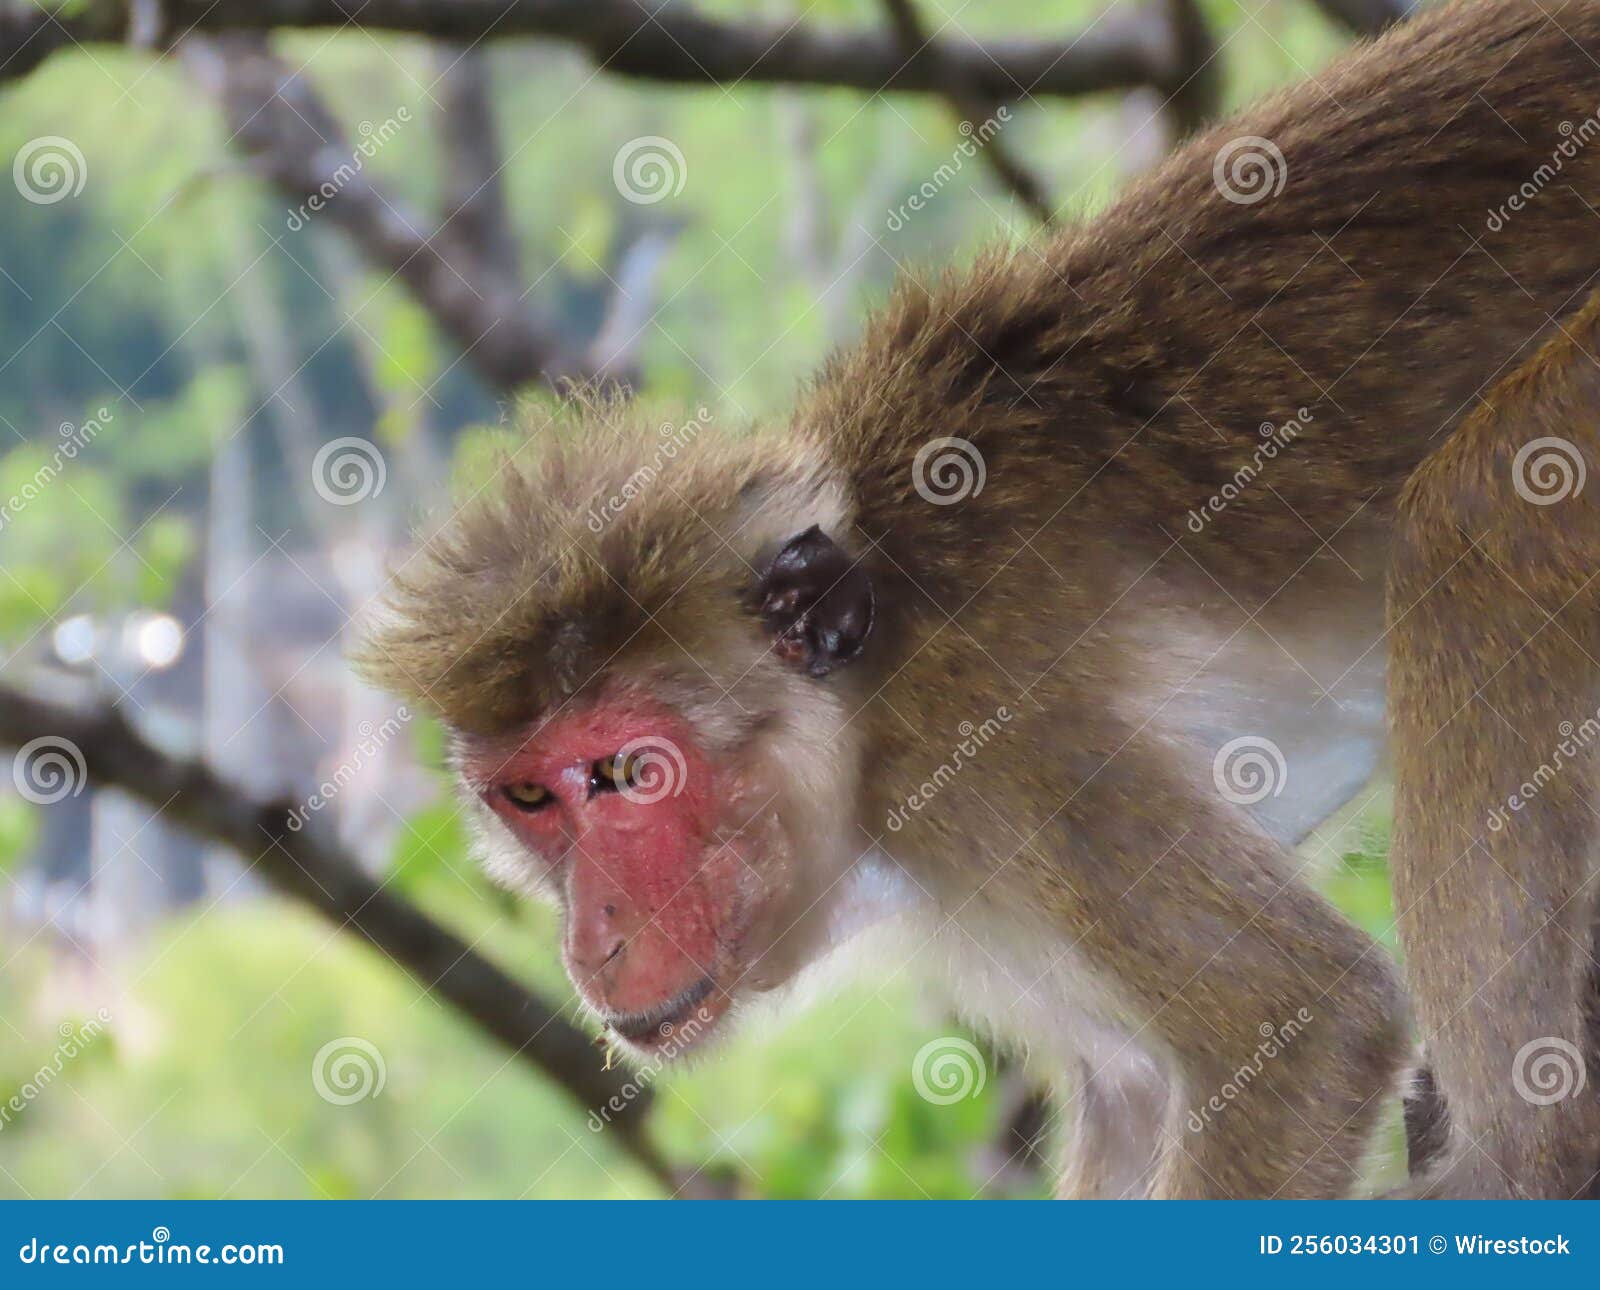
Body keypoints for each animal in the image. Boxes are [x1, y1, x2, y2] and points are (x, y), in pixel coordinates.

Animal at [356, 0, 1600, 1198]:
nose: (595, 941)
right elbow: (1132, 1089)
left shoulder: (996, 749)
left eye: (630, 775)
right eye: (531, 799)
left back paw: (1511, 1164)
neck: (861, 715)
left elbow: (1304, 1017)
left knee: (1481, 509)